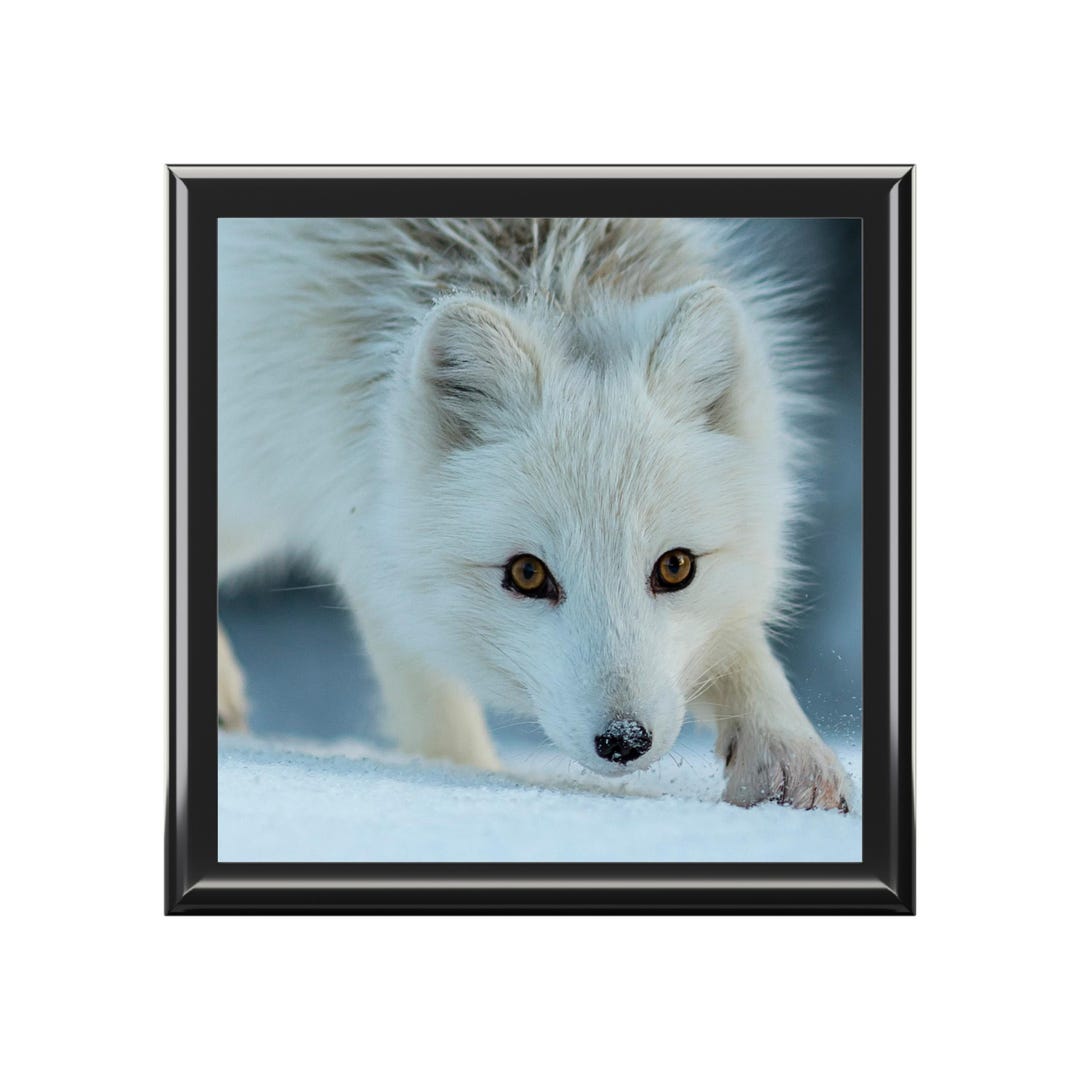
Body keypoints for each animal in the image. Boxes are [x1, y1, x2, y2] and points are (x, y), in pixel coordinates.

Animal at [217, 217, 853, 812]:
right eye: (527, 574)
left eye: (676, 567)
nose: (624, 741)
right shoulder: (358, 512)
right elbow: (431, 705)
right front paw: (463, 779)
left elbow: (740, 642)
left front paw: (787, 758)